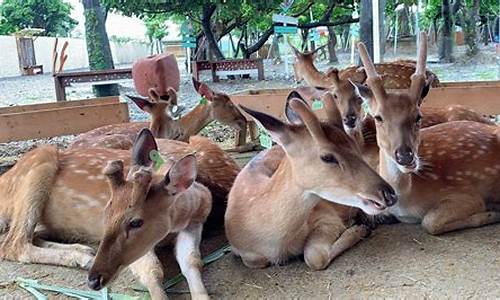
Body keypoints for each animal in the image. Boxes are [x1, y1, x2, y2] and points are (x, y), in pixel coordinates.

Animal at [0, 128, 225, 298]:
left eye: (136, 222)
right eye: (105, 214)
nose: (94, 281)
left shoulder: (194, 223)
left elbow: (192, 261)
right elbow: (153, 270)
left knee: (27, 236)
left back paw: (83, 252)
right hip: (37, 169)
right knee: (13, 244)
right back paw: (84, 258)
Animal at [225, 96, 396, 270]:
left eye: (355, 147)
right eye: (327, 157)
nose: (388, 194)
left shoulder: (326, 216)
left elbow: (315, 257)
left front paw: (358, 229)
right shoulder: (244, 252)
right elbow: (256, 261)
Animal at [352, 32, 500, 234]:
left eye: (418, 116)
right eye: (378, 117)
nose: (405, 157)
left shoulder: (468, 195)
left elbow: (430, 222)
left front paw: (491, 214)